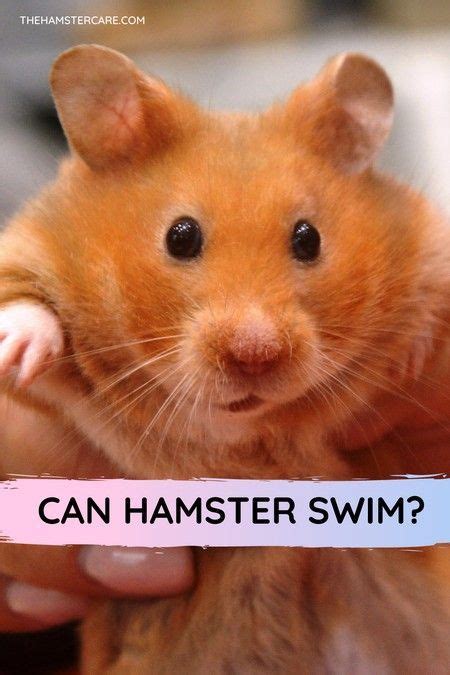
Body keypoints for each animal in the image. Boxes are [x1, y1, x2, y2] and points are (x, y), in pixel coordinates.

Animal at [0, 45, 448, 673]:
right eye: (180, 236)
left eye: (308, 238)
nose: (255, 355)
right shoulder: (27, 250)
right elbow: (27, 305)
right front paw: (15, 354)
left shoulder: (428, 237)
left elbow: (430, 292)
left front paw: (411, 356)